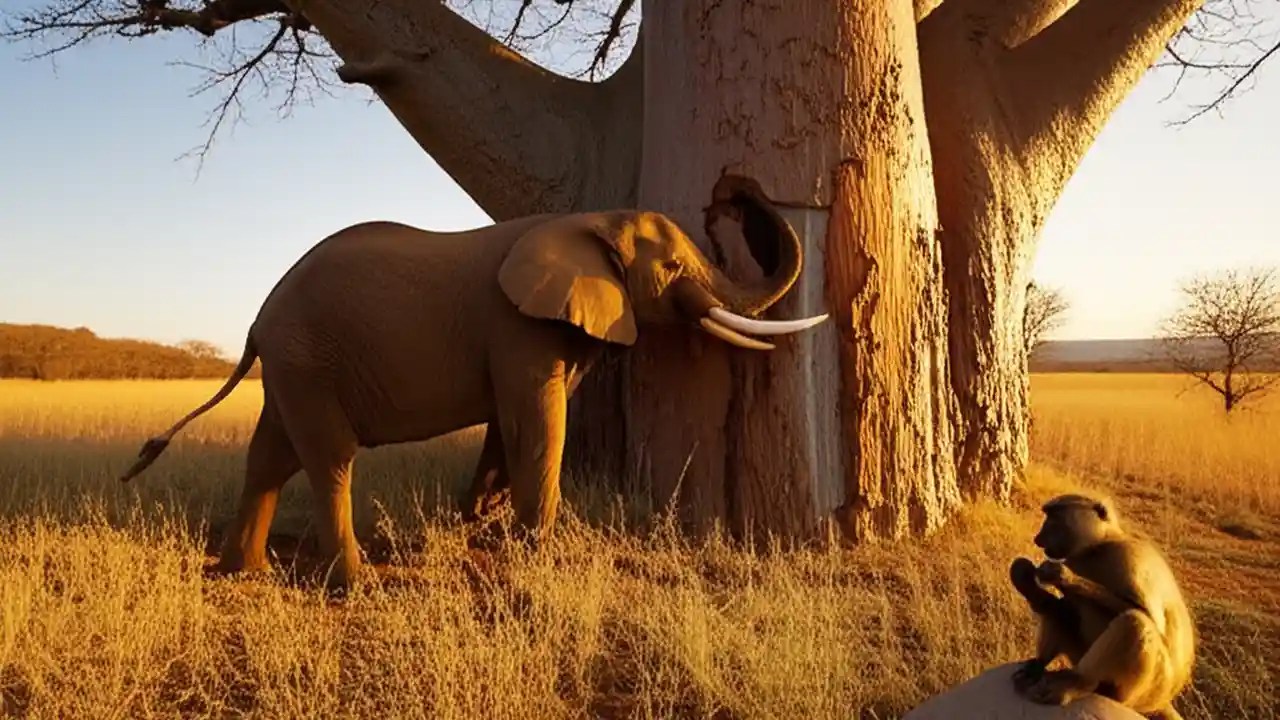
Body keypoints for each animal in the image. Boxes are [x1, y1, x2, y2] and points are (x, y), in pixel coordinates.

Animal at [119, 173, 829, 592]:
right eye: (677, 266)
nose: (738, 195)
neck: (590, 220)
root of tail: (257, 322)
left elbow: (513, 423)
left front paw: (481, 526)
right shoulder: (517, 326)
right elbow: (537, 420)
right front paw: (537, 554)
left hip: (293, 368)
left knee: (271, 456)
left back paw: (244, 572)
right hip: (308, 360)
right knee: (329, 457)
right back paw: (356, 583)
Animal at [1009, 493, 1196, 720]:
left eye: (1054, 517)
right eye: (1048, 516)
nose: (1038, 538)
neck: (1099, 547)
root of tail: (1162, 700)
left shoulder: (1128, 557)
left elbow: (1147, 616)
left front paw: (1062, 577)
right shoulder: (1077, 558)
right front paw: (1030, 582)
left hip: (1142, 690)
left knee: (1134, 622)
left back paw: (1079, 682)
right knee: (1061, 608)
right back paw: (1038, 665)